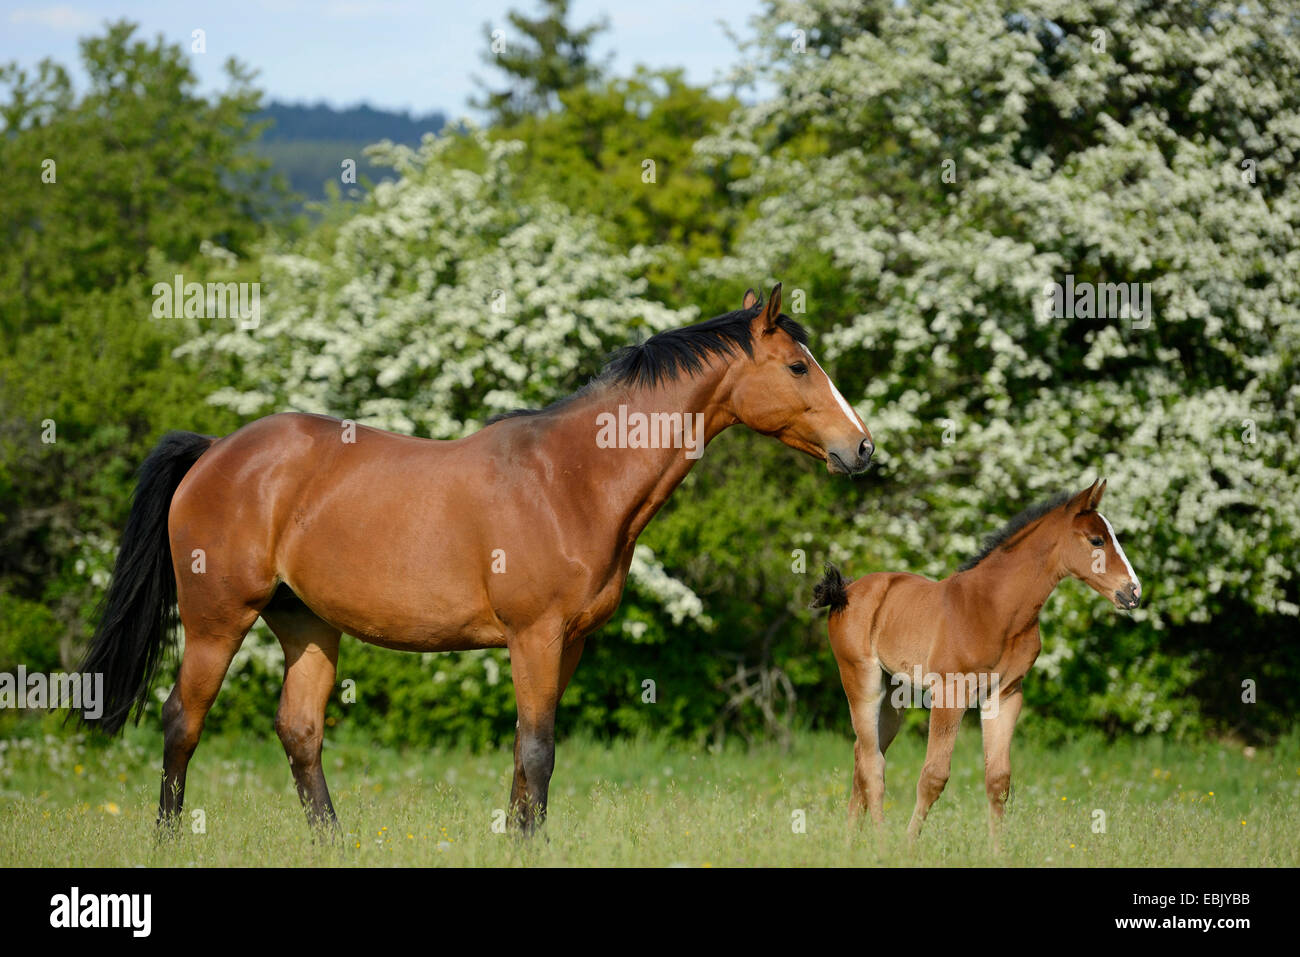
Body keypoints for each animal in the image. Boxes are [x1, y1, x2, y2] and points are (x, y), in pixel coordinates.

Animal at [77, 283, 874, 833]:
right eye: (798, 367)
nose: (863, 448)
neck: (570, 478)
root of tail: (216, 450)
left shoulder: (568, 643)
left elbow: (528, 751)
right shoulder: (534, 636)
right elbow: (538, 751)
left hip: (306, 624)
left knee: (300, 732)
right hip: (217, 622)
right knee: (182, 722)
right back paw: (167, 838)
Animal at [810, 478, 1140, 843]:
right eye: (1097, 540)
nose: (1133, 592)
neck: (995, 607)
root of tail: (846, 590)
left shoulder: (1005, 694)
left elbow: (998, 781)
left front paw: (999, 851)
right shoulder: (950, 693)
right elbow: (933, 777)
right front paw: (908, 847)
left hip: (894, 695)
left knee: (862, 756)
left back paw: (850, 845)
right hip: (861, 682)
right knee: (872, 764)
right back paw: (881, 845)